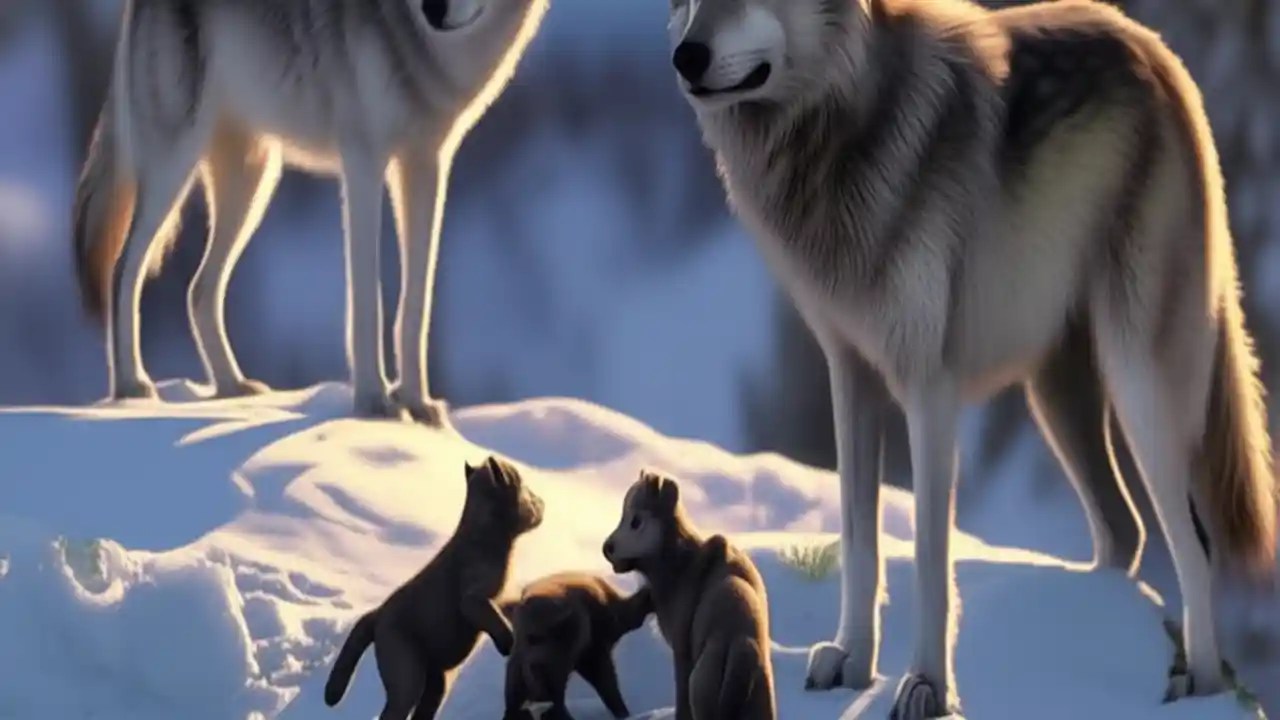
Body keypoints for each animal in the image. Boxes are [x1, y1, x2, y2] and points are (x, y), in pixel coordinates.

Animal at [73, 0, 548, 422]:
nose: (432, 9)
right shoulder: (363, 161)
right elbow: (368, 298)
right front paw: (373, 403)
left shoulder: (428, 166)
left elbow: (416, 305)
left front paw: (417, 405)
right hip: (174, 166)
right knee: (124, 269)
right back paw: (132, 388)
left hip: (255, 180)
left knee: (199, 289)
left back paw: (232, 387)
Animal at [323, 456, 545, 719]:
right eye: (527, 491)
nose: (542, 501)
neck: (487, 537)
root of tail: (377, 614)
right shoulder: (473, 599)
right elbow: (492, 617)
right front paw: (508, 643)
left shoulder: (500, 599)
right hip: (407, 671)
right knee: (395, 708)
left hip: (437, 681)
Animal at [603, 471, 777, 720]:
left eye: (636, 521)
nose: (607, 548)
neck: (679, 567)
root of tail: (742, 648)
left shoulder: (681, 651)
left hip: (700, 690)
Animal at [659, 0, 1279, 716]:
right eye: (686, 4)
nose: (686, 58)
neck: (848, 122)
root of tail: (1155, 48)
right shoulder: (849, 373)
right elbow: (859, 537)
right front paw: (852, 662)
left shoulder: (930, 389)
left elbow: (931, 554)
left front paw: (926, 685)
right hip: (1056, 398)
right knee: (1126, 531)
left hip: (1139, 385)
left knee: (1195, 547)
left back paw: (1197, 686)